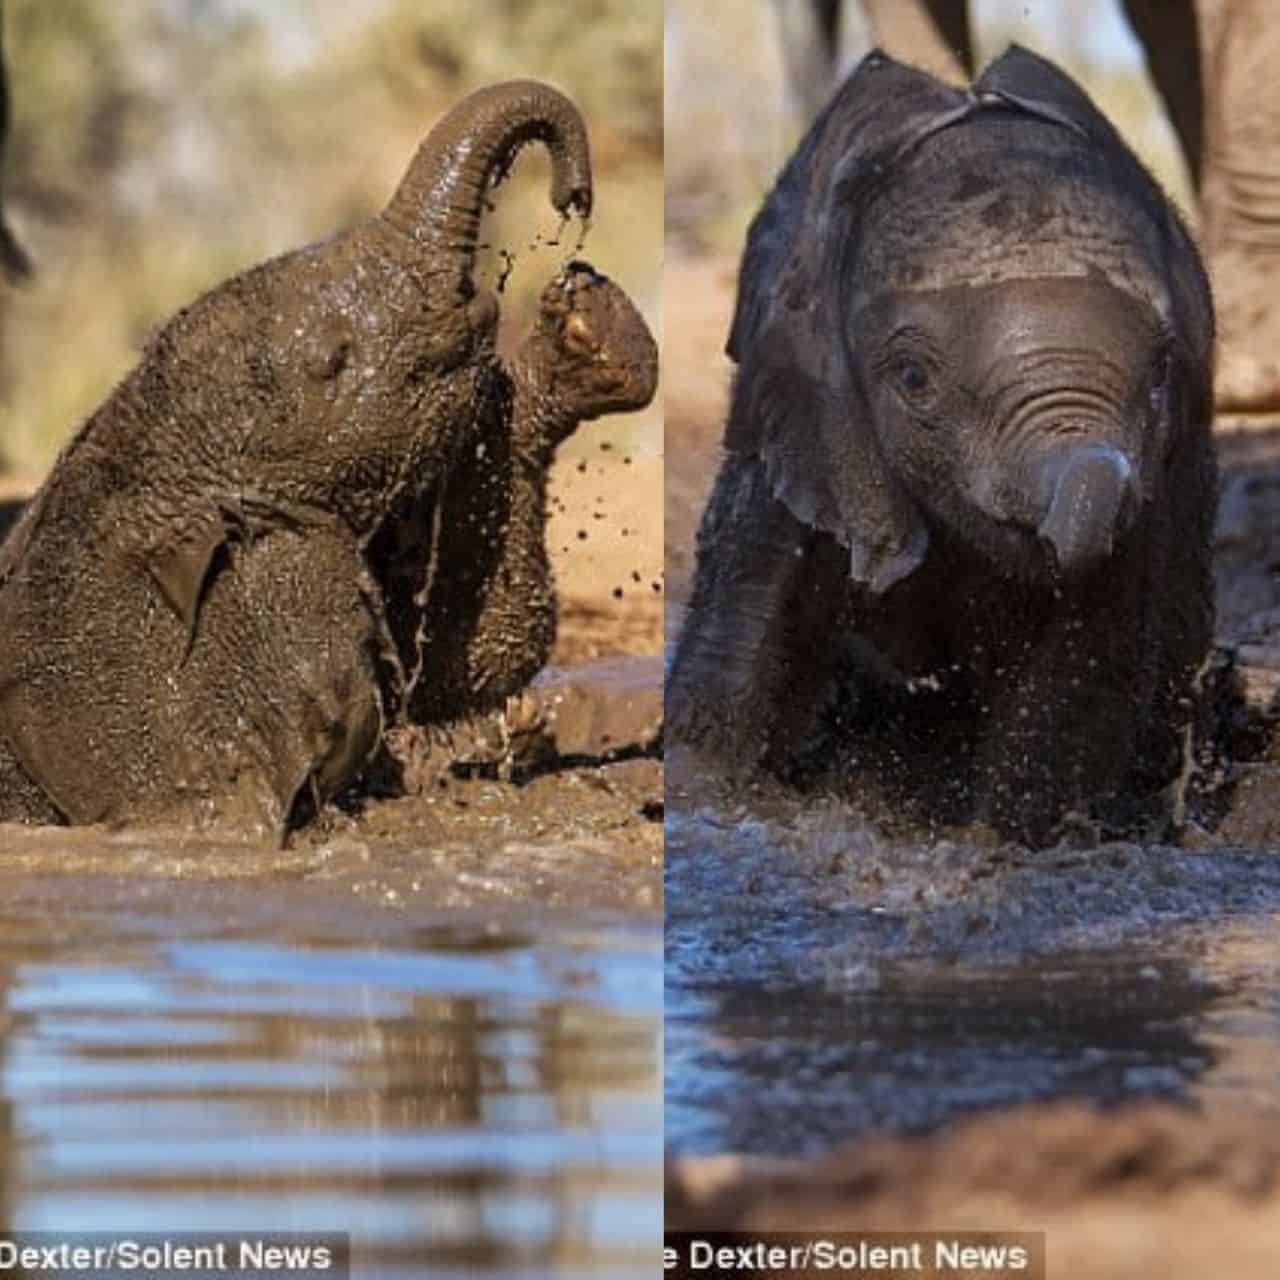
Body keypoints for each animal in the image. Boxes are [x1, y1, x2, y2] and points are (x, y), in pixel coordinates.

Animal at [666, 47, 1218, 848]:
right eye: (914, 378)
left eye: (1164, 371)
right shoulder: (798, 415)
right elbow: (741, 617)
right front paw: (707, 796)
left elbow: (1083, 669)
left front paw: (997, 843)